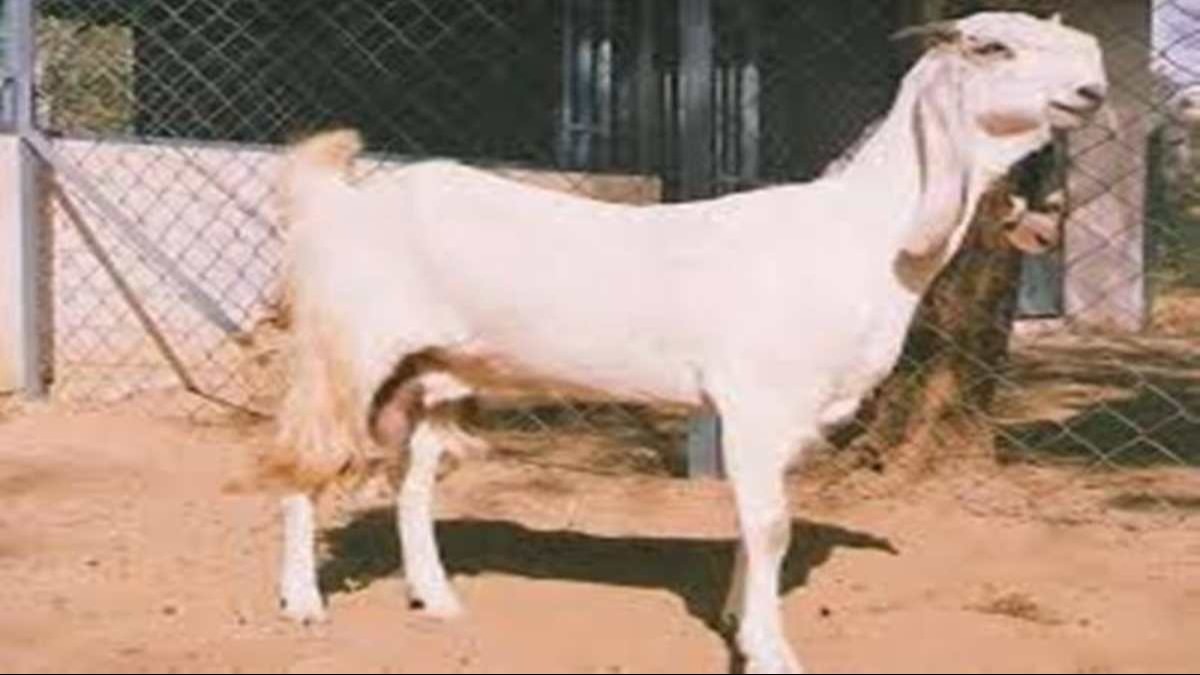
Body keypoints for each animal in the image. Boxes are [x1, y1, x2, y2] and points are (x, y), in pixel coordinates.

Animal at [269, 12, 1106, 674]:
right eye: (992, 46)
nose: (1092, 92)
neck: (859, 234)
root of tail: (348, 201)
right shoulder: (757, 400)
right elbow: (770, 526)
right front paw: (770, 651)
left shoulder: (785, 415)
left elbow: (754, 523)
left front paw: (739, 619)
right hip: (348, 353)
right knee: (306, 463)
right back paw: (303, 602)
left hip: (434, 374)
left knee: (412, 481)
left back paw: (436, 598)